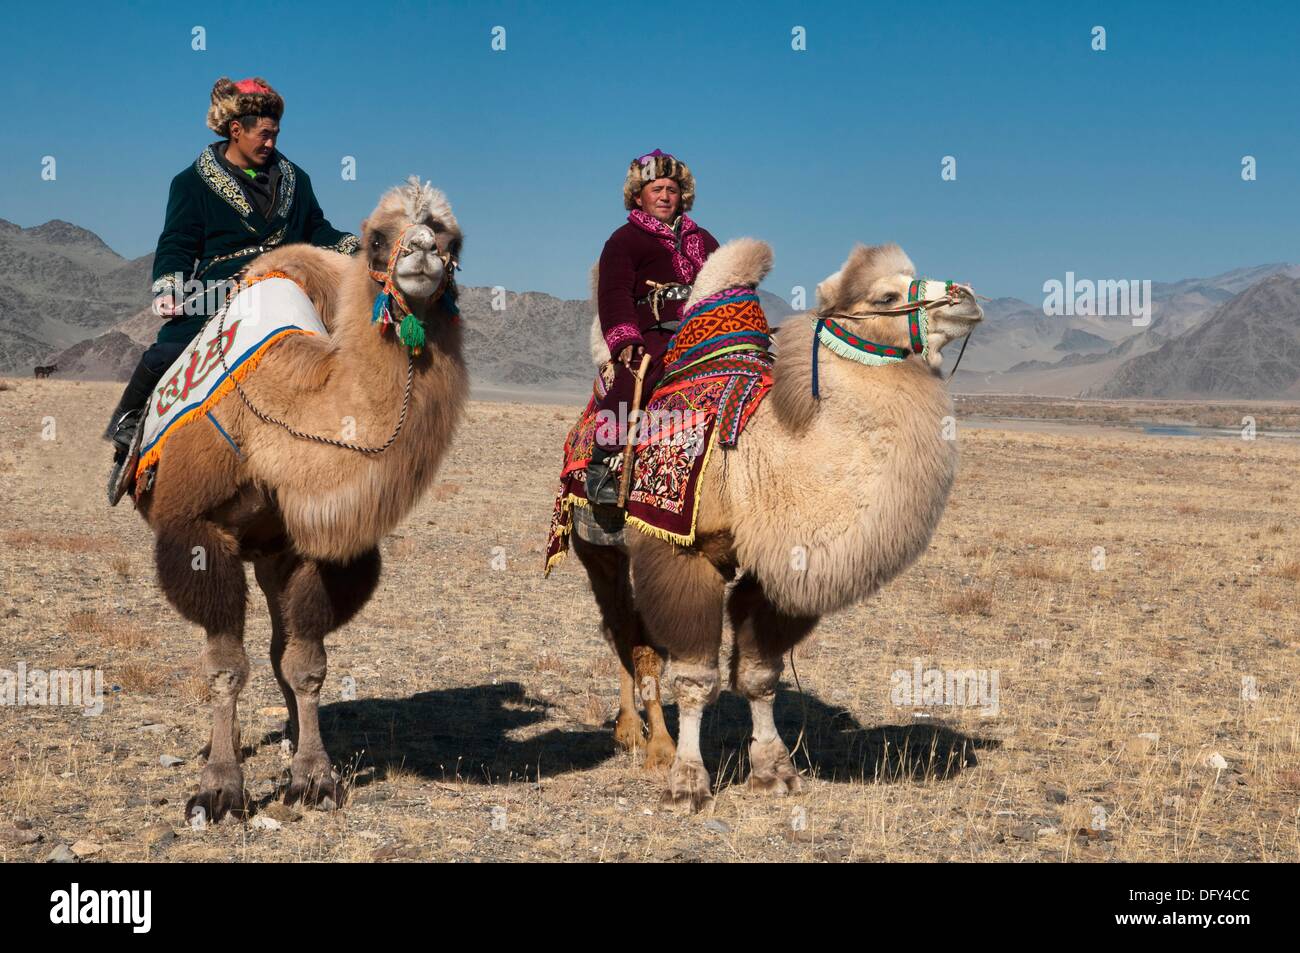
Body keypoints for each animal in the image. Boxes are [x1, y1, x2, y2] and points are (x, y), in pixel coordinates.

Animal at [135, 178, 467, 823]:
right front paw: (219, 787)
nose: (422, 253)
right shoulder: (196, 528)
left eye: (449, 236)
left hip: (268, 554)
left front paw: (313, 775)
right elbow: (224, 668)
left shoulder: (314, 544)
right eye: (376, 239)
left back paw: (291, 735)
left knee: (277, 648)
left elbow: (306, 664)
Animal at [572, 238, 982, 810]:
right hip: (600, 547)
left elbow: (760, 675)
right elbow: (695, 678)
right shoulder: (681, 552)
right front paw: (687, 781)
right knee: (624, 630)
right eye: (885, 296)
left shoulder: (775, 569)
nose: (965, 297)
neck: (763, 455)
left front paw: (773, 770)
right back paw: (646, 740)